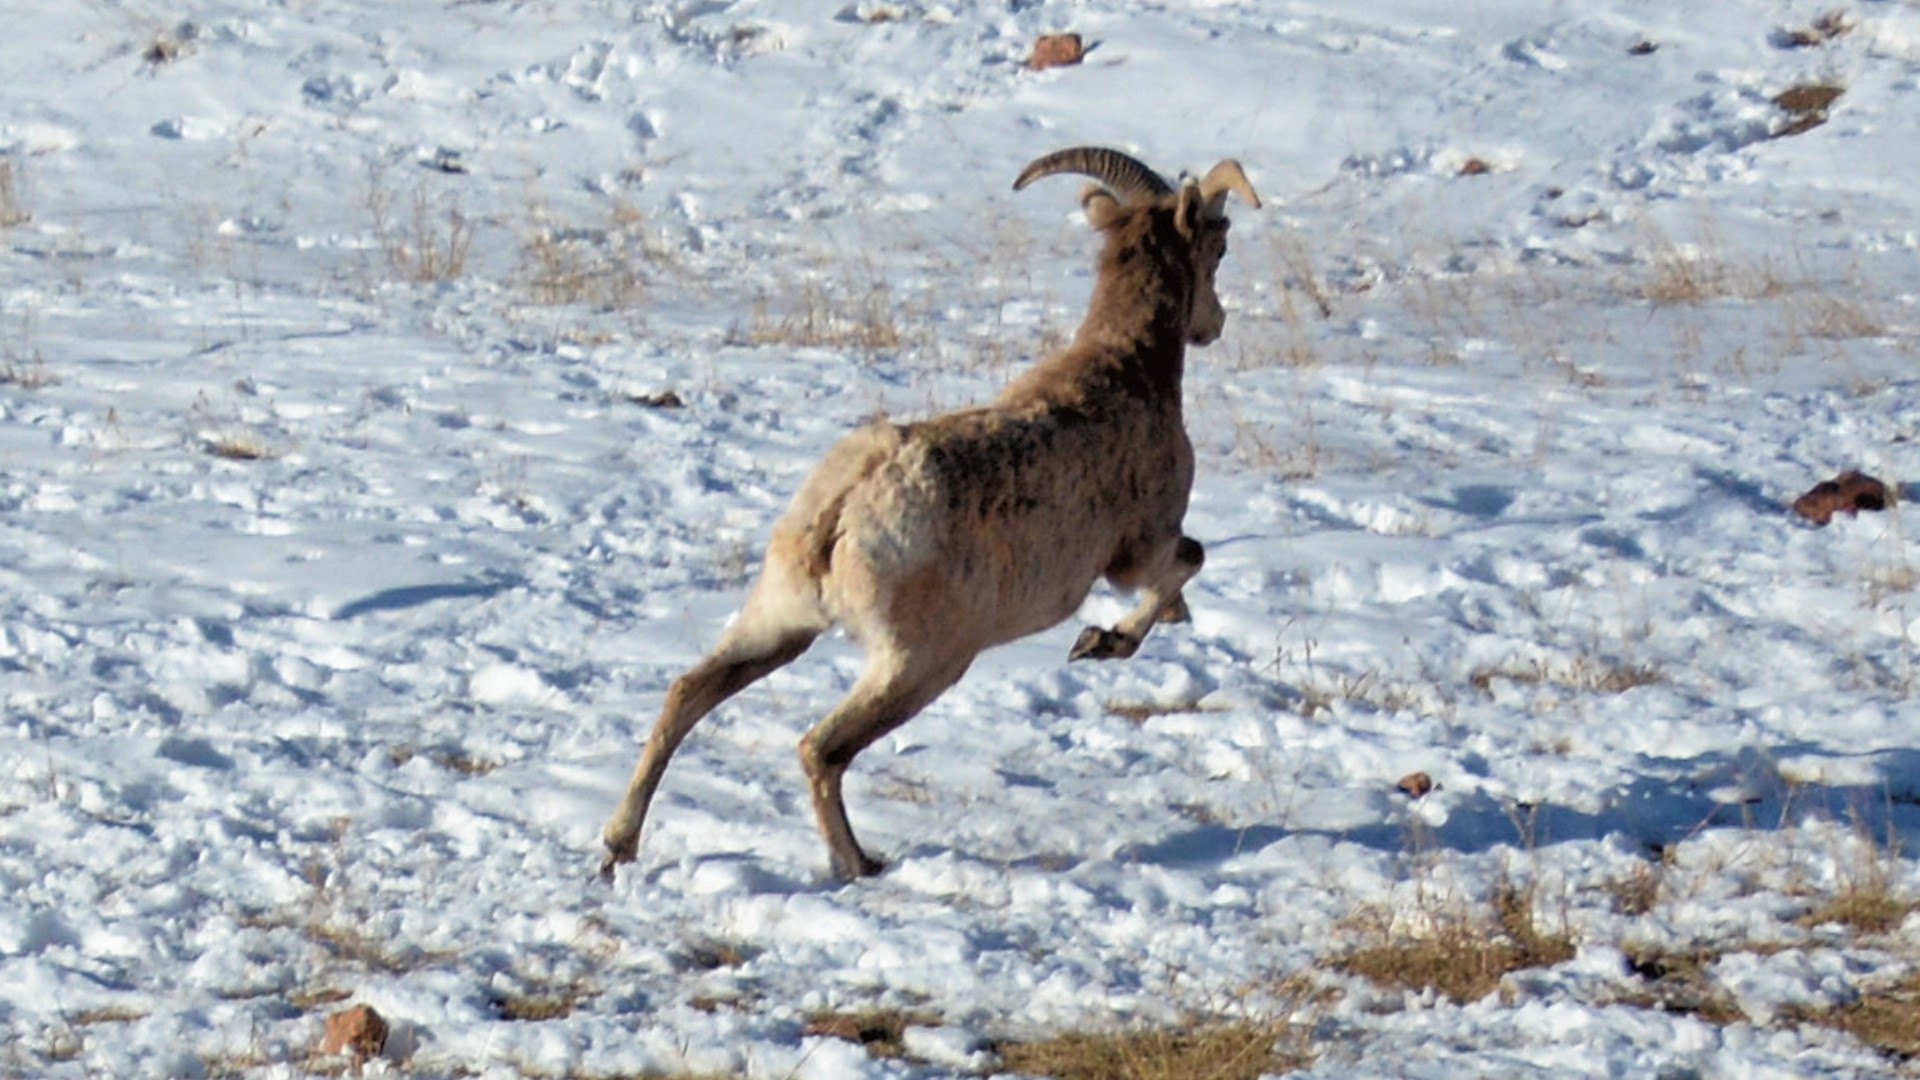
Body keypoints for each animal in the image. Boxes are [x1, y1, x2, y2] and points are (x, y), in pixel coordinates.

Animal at [600, 146, 1261, 882]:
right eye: (1219, 245)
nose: (1213, 325)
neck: (1124, 377)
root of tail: (844, 509)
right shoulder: (1138, 551)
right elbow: (1187, 562)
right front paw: (1099, 642)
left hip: (781, 621)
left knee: (689, 692)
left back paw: (617, 847)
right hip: (920, 663)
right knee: (821, 746)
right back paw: (859, 863)